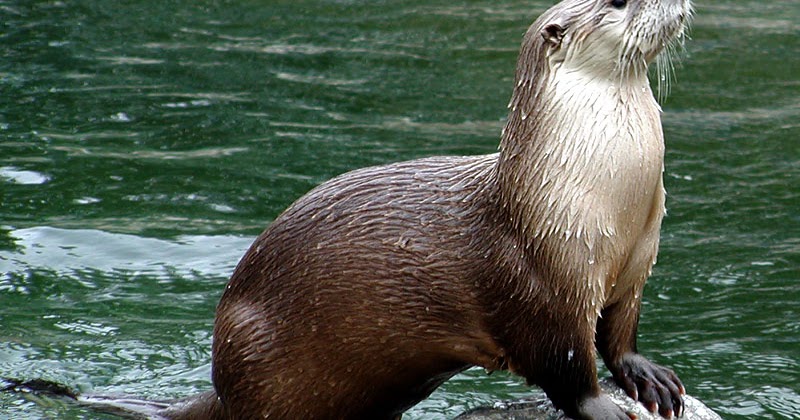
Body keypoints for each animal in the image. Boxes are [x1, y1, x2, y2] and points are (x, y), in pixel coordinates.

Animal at [164, 0, 693, 419]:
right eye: (618, 0)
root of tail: (220, 387)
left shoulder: (637, 266)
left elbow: (619, 337)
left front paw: (648, 375)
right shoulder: (543, 289)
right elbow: (566, 370)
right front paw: (603, 407)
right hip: (254, 354)